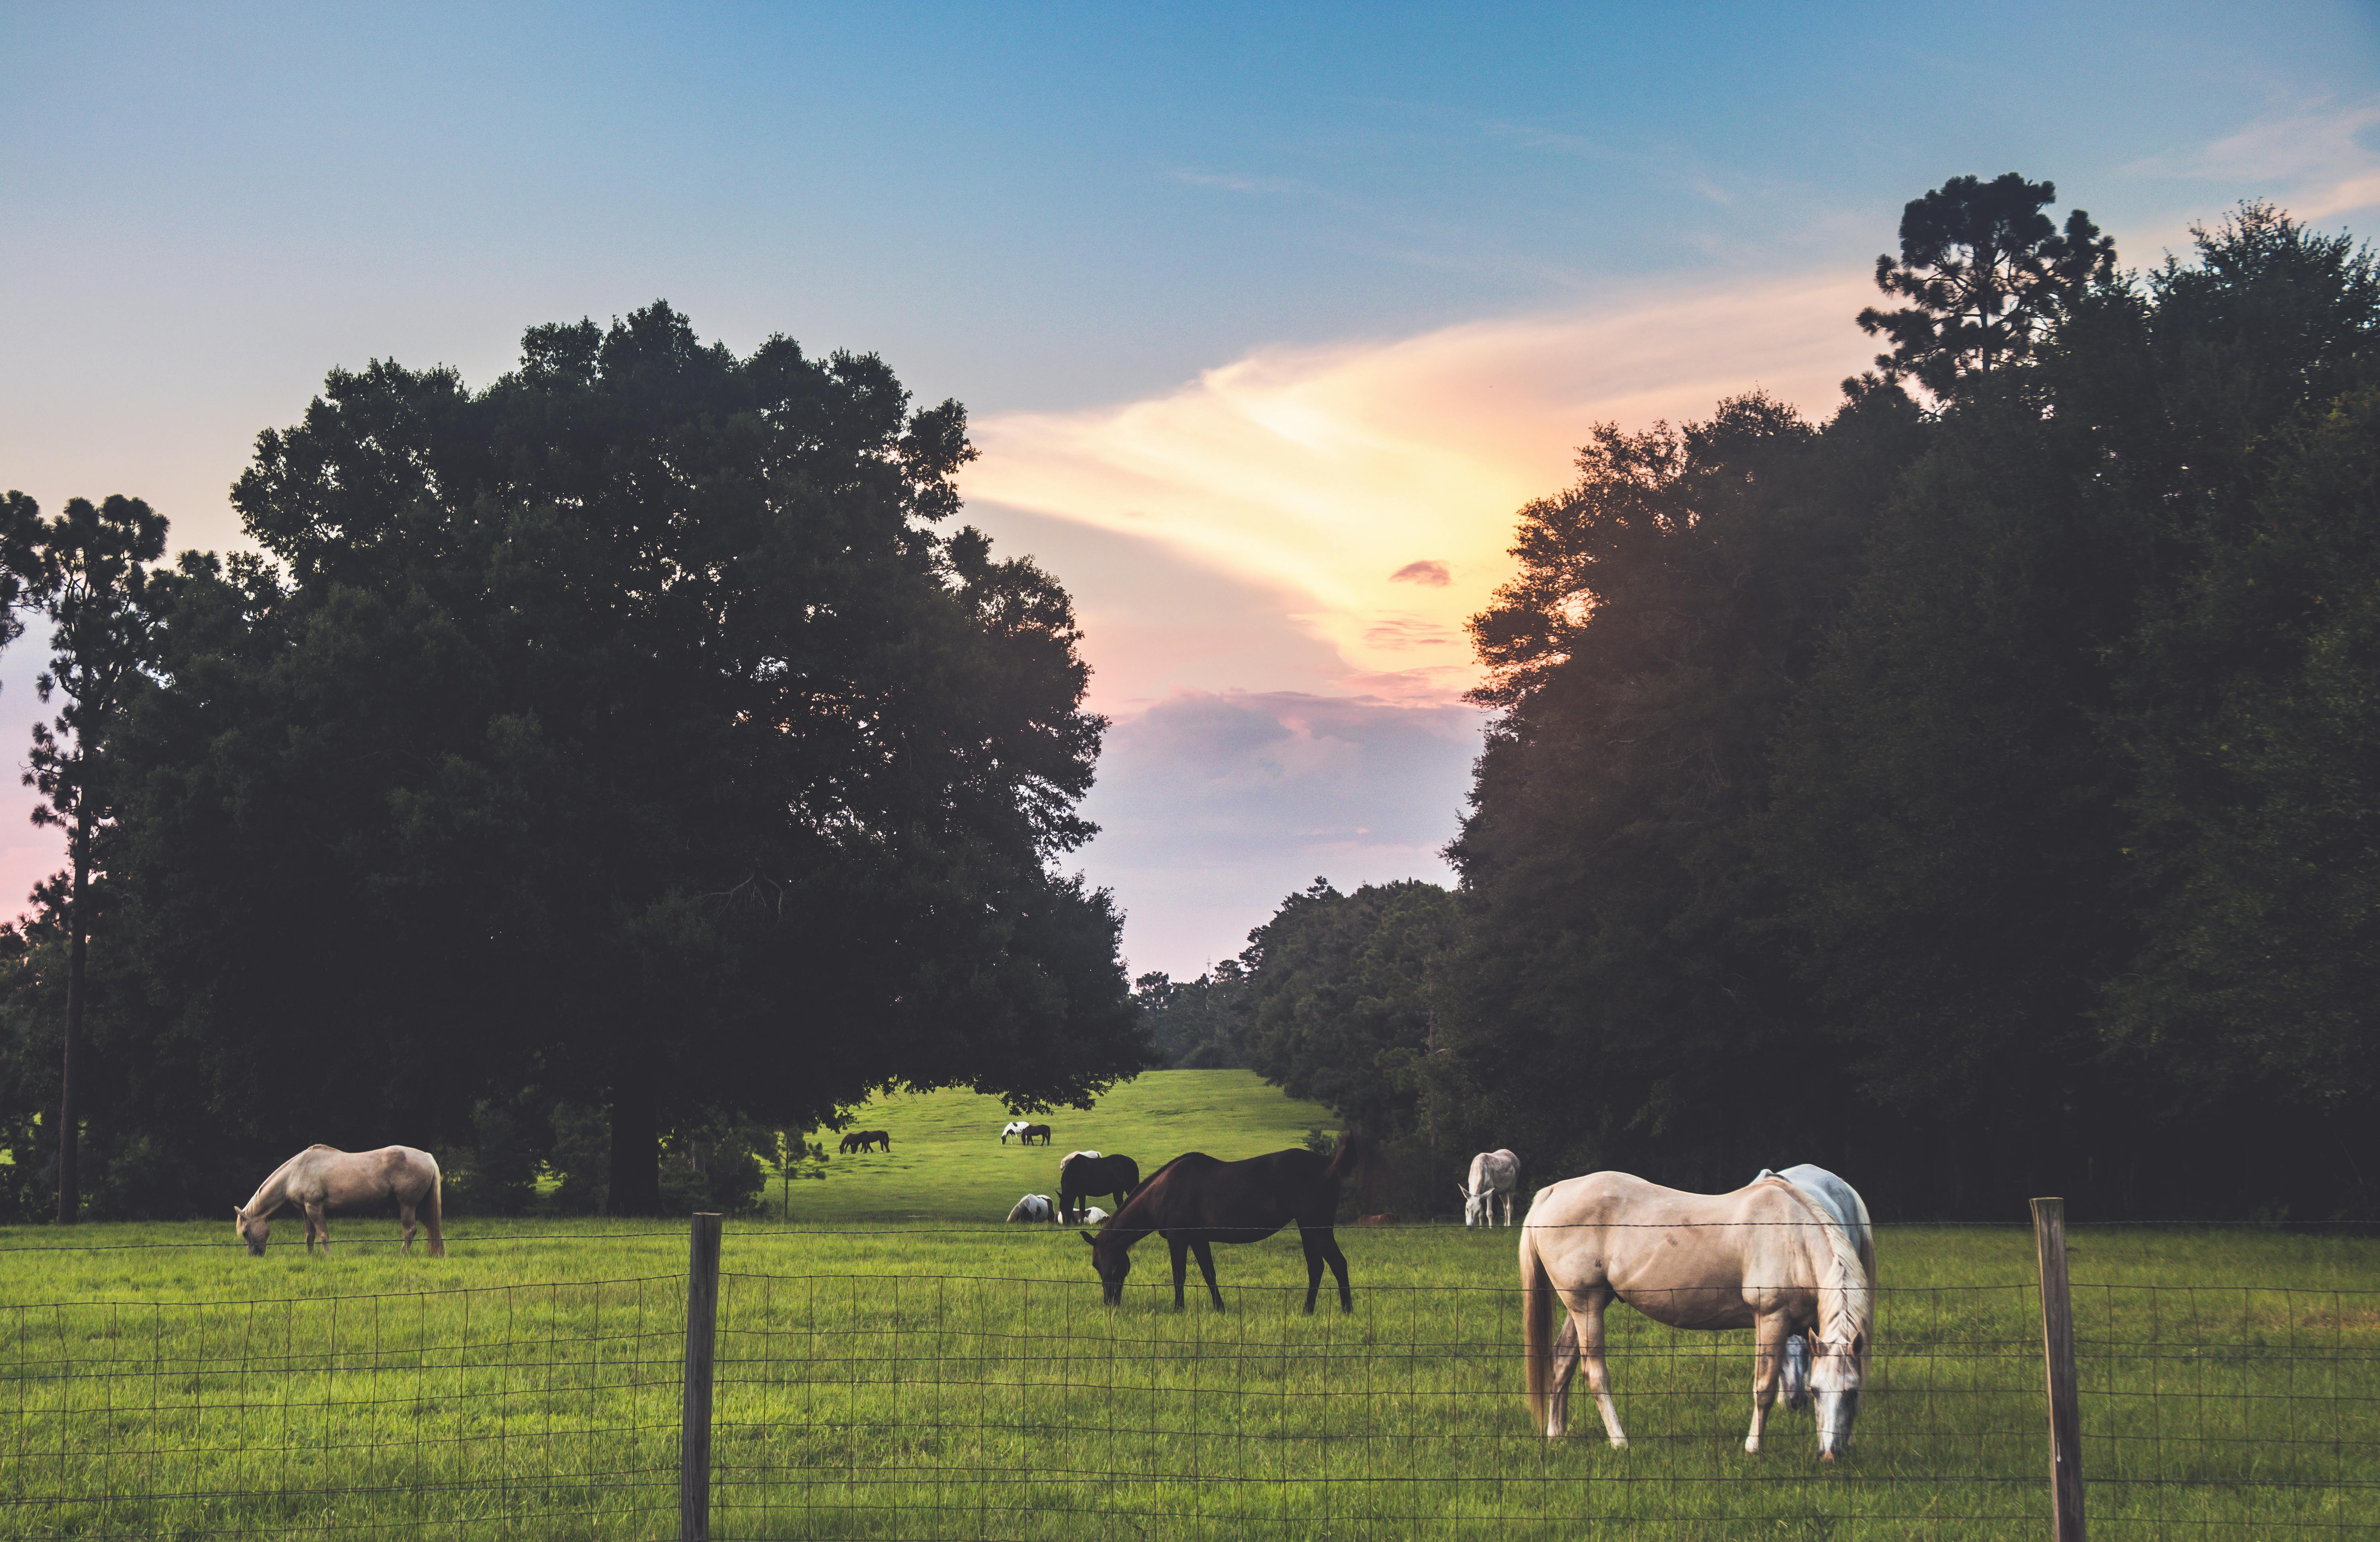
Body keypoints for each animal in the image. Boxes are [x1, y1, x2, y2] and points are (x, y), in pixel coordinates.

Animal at [234, 1145, 444, 1257]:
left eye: (245, 1233)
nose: (254, 1255)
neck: (296, 1172)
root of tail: (427, 1157)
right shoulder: (305, 1210)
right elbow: (309, 1236)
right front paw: (311, 1257)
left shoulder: (315, 1207)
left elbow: (323, 1235)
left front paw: (328, 1257)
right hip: (421, 1207)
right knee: (432, 1228)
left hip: (407, 1205)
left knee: (410, 1231)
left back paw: (402, 1255)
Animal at [1060, 1151, 1138, 1222]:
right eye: (1061, 1209)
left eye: (1066, 1209)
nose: (1066, 1224)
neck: (1075, 1171)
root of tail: (1133, 1162)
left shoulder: (1082, 1194)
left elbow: (1082, 1210)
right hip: (1118, 1191)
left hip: (1130, 1188)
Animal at [1080, 1133, 1357, 1314]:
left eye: (1100, 1263)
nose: (1109, 1303)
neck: (1163, 1191)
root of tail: (1330, 1165)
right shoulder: (1199, 1239)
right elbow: (1209, 1273)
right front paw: (1219, 1308)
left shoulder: (1178, 1239)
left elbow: (1179, 1275)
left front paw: (1179, 1310)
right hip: (1308, 1229)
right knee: (1317, 1267)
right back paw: (1308, 1310)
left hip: (1317, 1229)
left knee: (1338, 1263)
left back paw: (1347, 1310)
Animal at [1463, 1148, 1521, 1227]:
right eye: (1467, 1208)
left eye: (1477, 1211)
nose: (1470, 1225)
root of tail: (1518, 1160)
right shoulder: (1481, 1194)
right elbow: (1482, 1214)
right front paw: (1481, 1227)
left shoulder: (1490, 1189)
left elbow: (1489, 1213)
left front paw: (1491, 1227)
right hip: (1502, 1192)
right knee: (1505, 1206)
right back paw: (1505, 1225)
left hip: (1513, 1187)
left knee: (1510, 1207)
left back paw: (1509, 1225)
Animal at [1519, 1169, 1874, 1459]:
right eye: (1817, 1391)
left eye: (1852, 1392)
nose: (1830, 1455)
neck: (1793, 1237)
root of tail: (1554, 1190)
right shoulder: (1771, 1319)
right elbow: (1764, 1387)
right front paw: (1753, 1448)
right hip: (1586, 1305)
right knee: (1595, 1374)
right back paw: (1619, 1442)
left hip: (1586, 1305)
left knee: (1562, 1361)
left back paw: (1556, 1435)